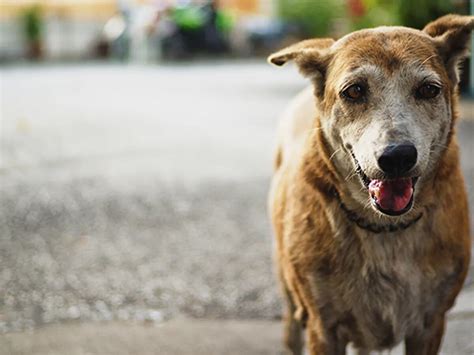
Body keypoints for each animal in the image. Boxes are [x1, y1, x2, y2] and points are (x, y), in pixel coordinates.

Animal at [268, 14, 472, 355]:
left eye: (428, 89)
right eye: (354, 91)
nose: (397, 156)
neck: (385, 228)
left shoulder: (430, 323)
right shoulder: (323, 327)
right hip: (291, 298)